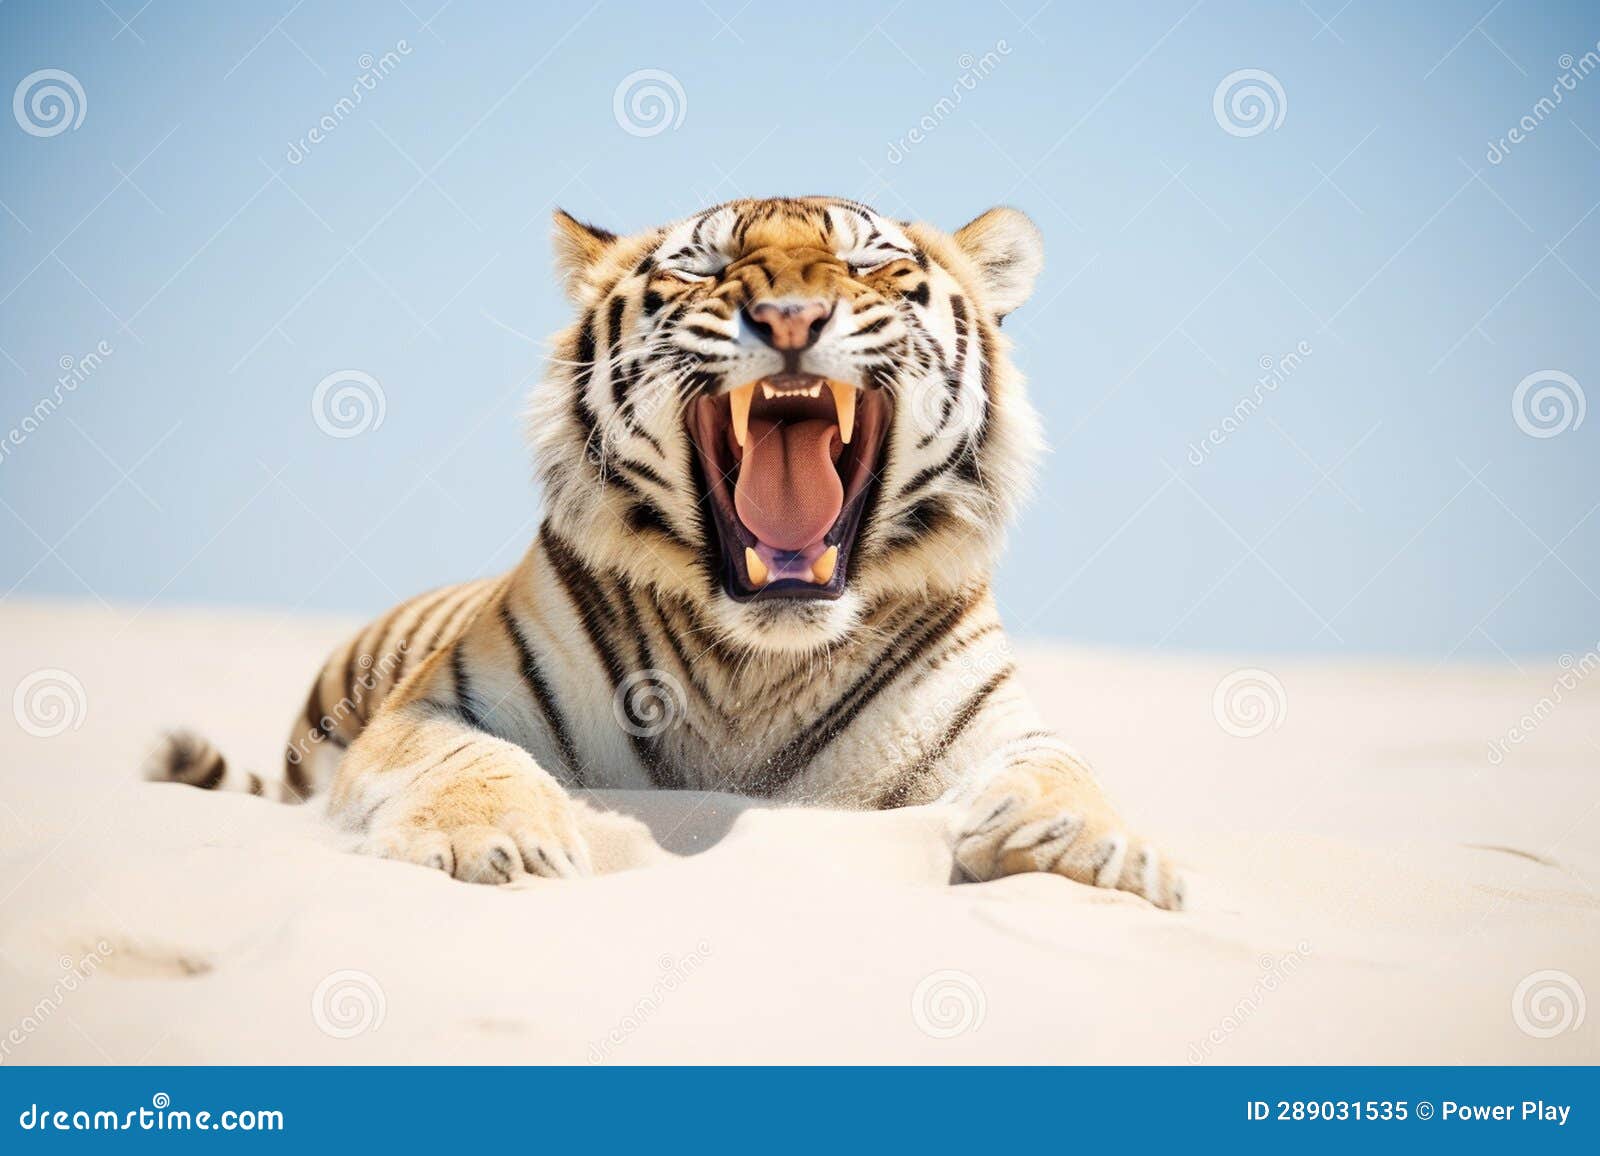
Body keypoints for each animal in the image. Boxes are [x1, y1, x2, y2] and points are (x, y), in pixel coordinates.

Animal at [148, 195, 1184, 909]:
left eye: (867, 264)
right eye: (707, 267)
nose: (793, 316)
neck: (758, 666)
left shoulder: (997, 728)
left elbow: (1063, 770)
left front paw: (1090, 851)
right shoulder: (437, 705)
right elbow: (467, 761)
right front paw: (488, 847)